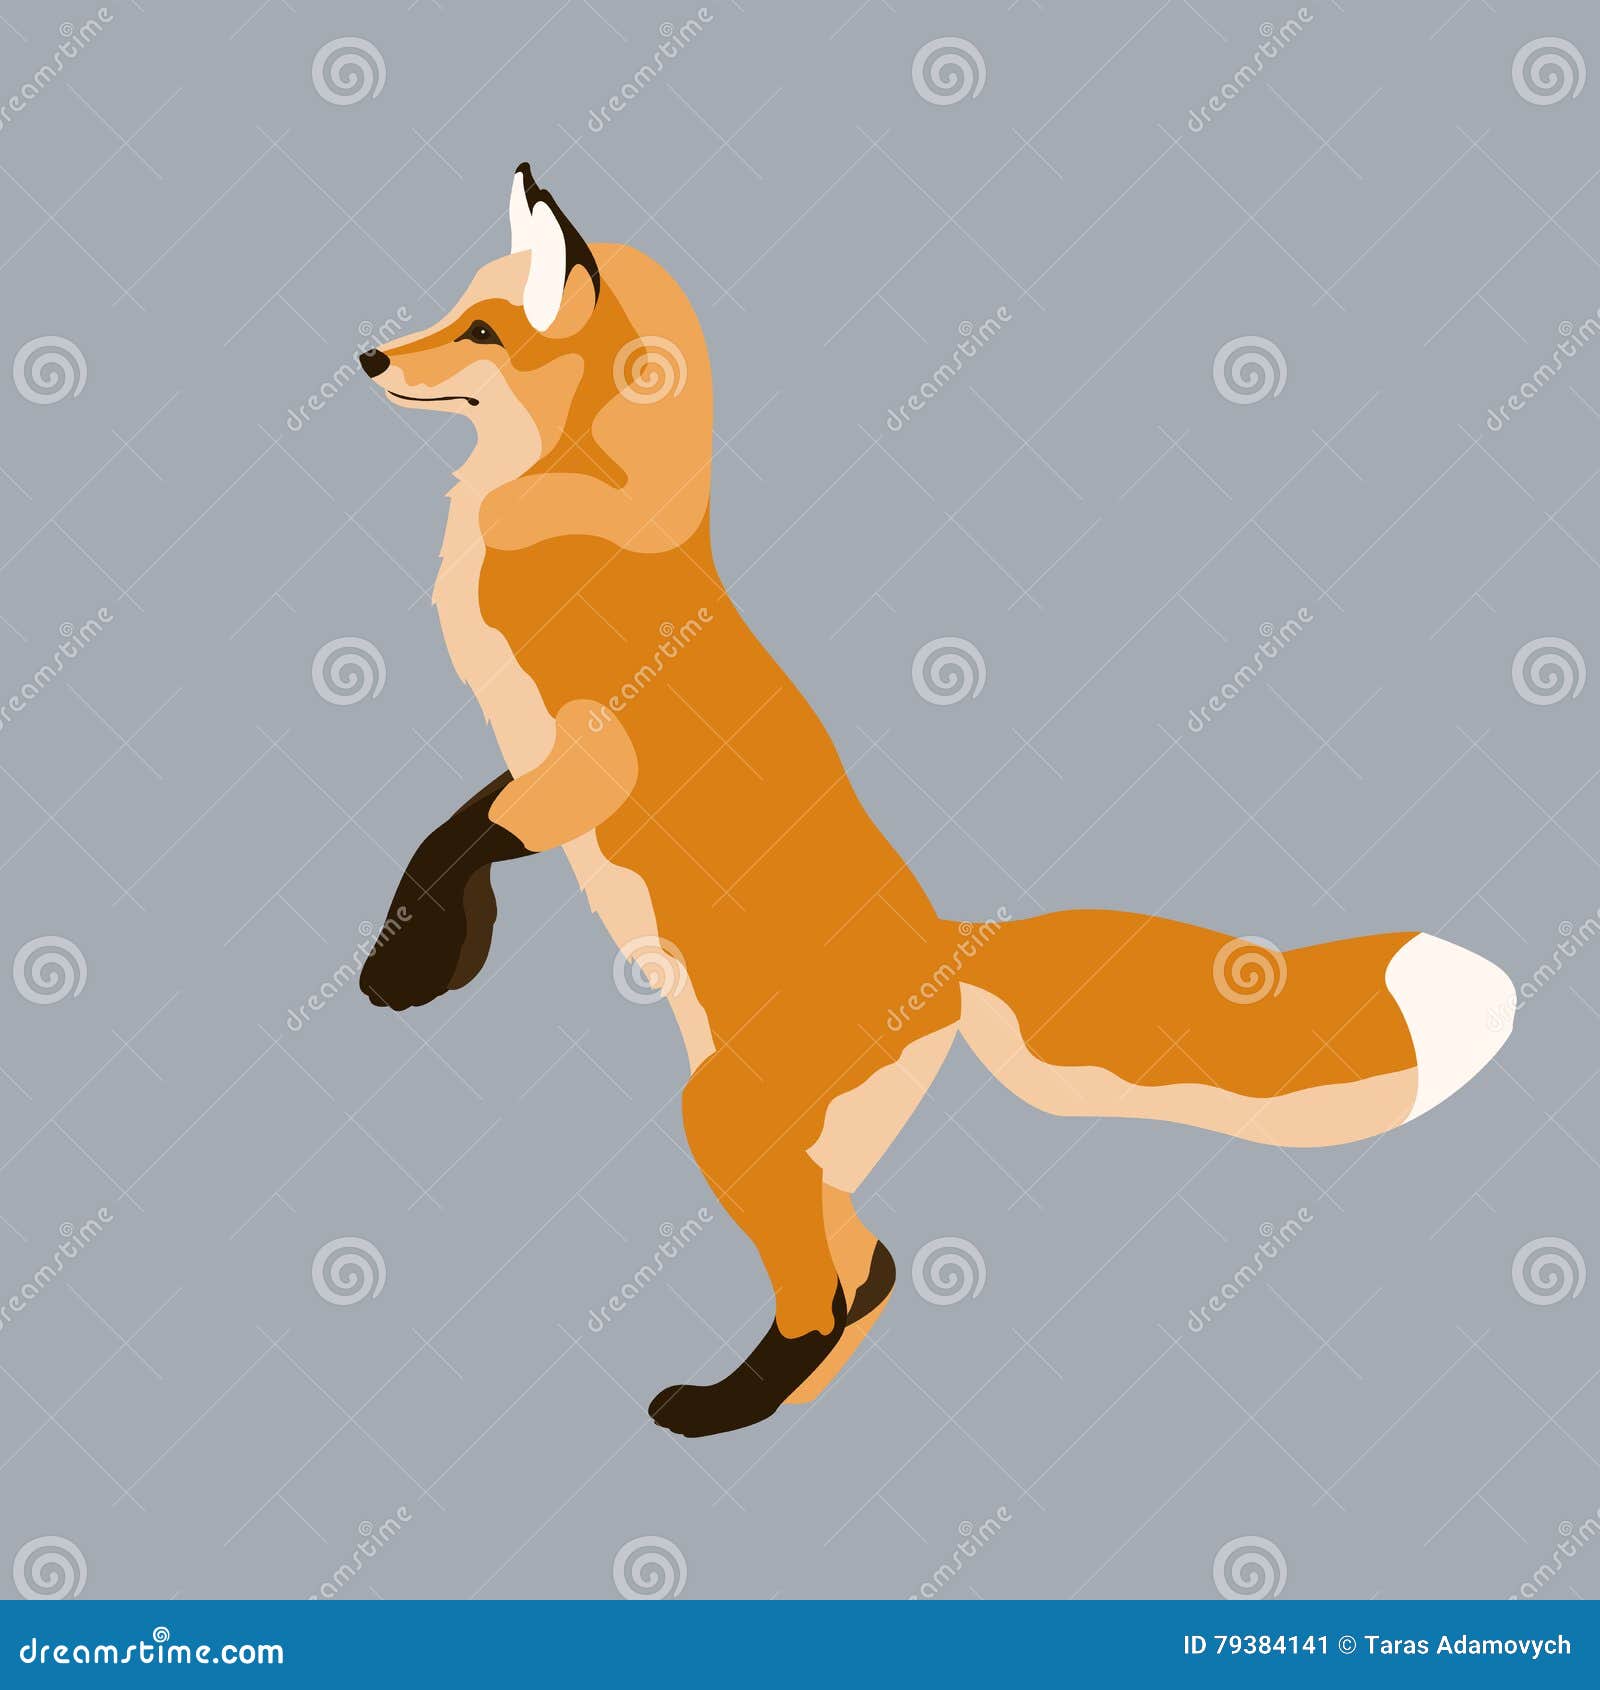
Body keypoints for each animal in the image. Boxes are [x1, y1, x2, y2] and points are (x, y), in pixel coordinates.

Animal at [352, 164, 1516, 1438]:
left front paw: (408, 963)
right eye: (453, 307)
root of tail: (947, 954)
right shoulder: (533, 759)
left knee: (828, 1290)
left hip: (724, 1119)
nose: (366, 355)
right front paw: (430, 952)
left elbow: (460, 839)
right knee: (873, 1270)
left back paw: (724, 1407)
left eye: (482, 330)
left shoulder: (591, 759)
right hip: (796, 1148)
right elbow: (453, 829)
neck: (575, 519)